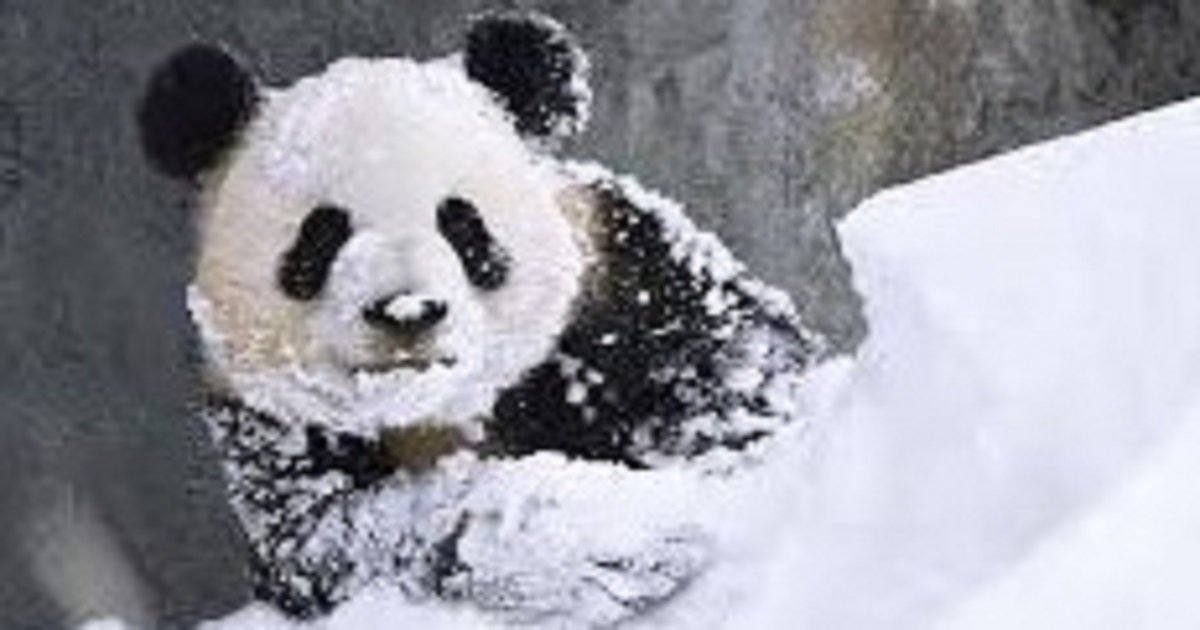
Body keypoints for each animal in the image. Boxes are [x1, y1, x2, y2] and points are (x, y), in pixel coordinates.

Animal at [138, 11, 825, 625]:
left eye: (462, 225)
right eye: (320, 237)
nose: (407, 309)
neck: (433, 407)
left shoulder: (629, 284)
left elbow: (743, 398)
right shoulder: (265, 422)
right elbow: (328, 540)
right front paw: (561, 541)